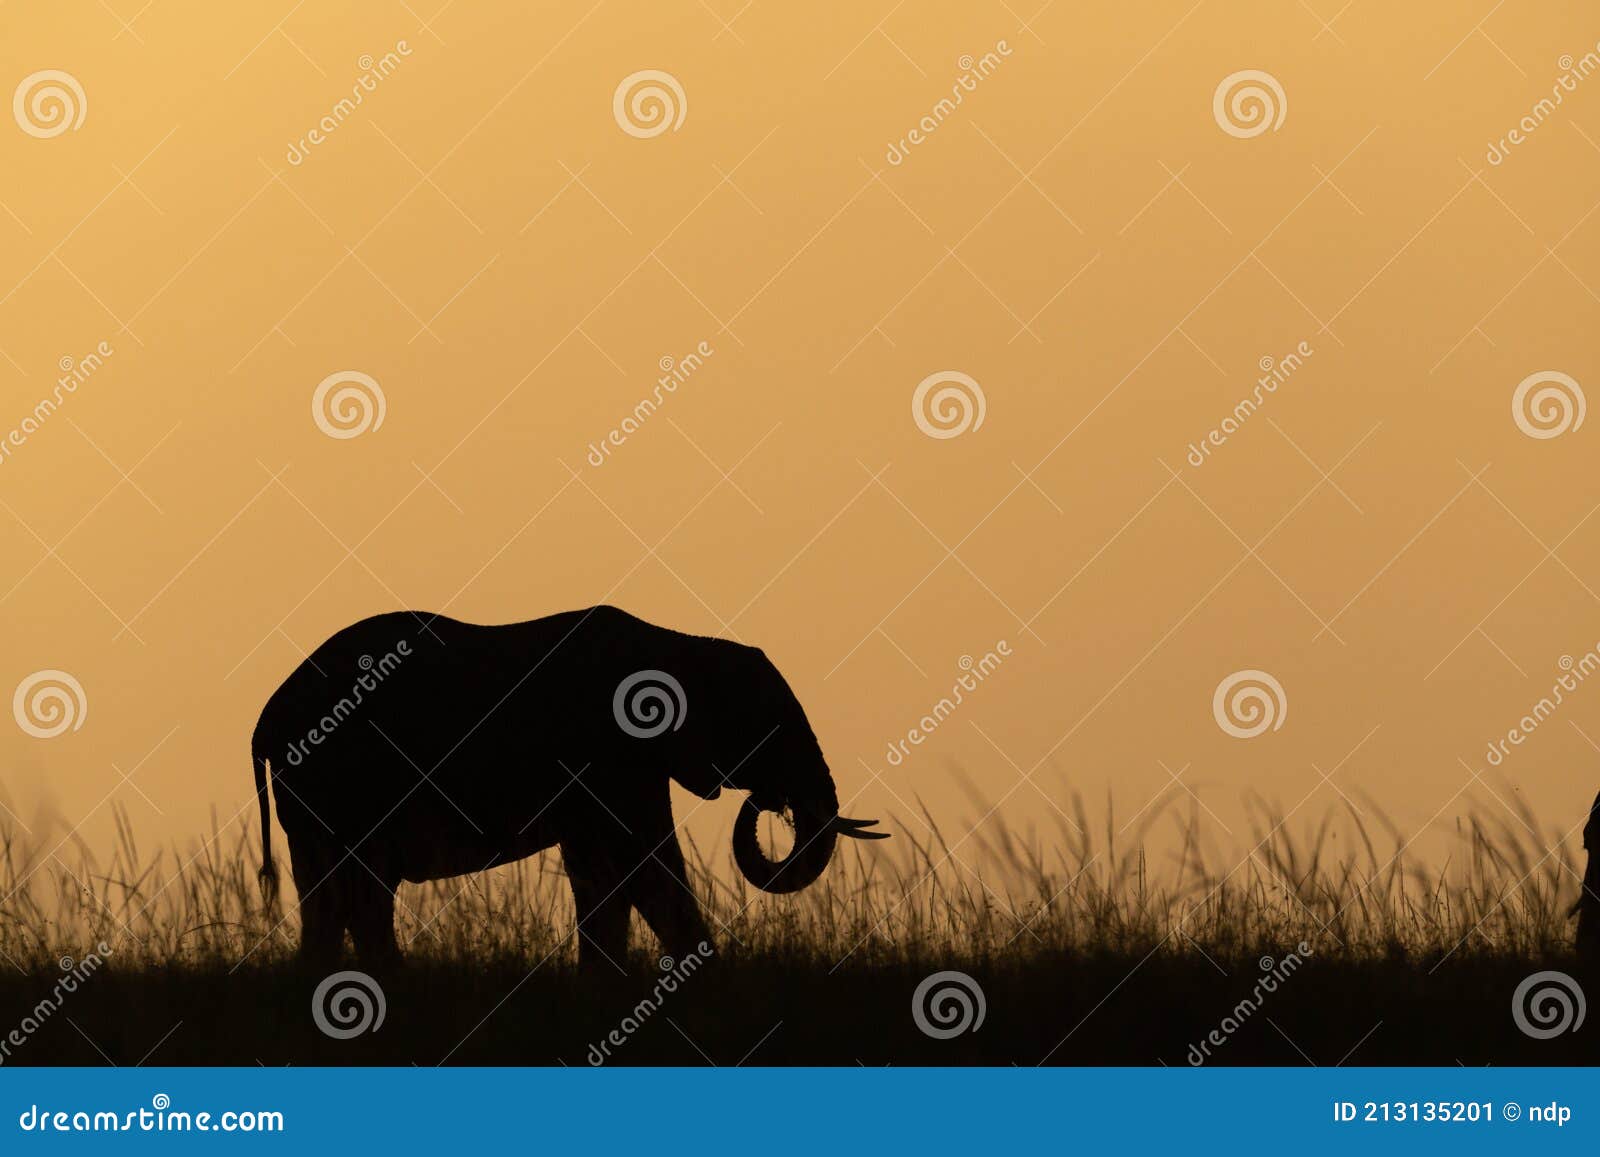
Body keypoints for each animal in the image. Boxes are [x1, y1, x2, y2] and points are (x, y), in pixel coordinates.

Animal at [250, 605, 886, 970]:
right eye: (769, 724)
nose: (771, 799)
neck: (680, 645)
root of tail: (265, 720)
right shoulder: (612, 753)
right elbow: (645, 863)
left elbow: (601, 877)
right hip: (342, 778)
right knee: (359, 892)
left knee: (335, 895)